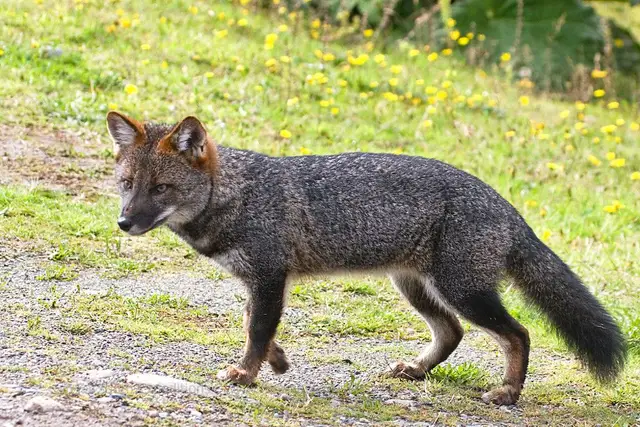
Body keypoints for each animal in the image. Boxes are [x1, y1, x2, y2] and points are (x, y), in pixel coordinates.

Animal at [106, 111, 626, 406]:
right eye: (128, 184)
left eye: (161, 189)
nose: (124, 222)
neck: (239, 194)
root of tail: (507, 205)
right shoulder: (260, 281)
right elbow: (253, 321)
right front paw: (277, 361)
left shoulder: (271, 275)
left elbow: (255, 328)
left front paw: (247, 373)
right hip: (417, 288)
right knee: (452, 332)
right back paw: (417, 370)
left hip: (463, 291)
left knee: (518, 334)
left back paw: (508, 393)